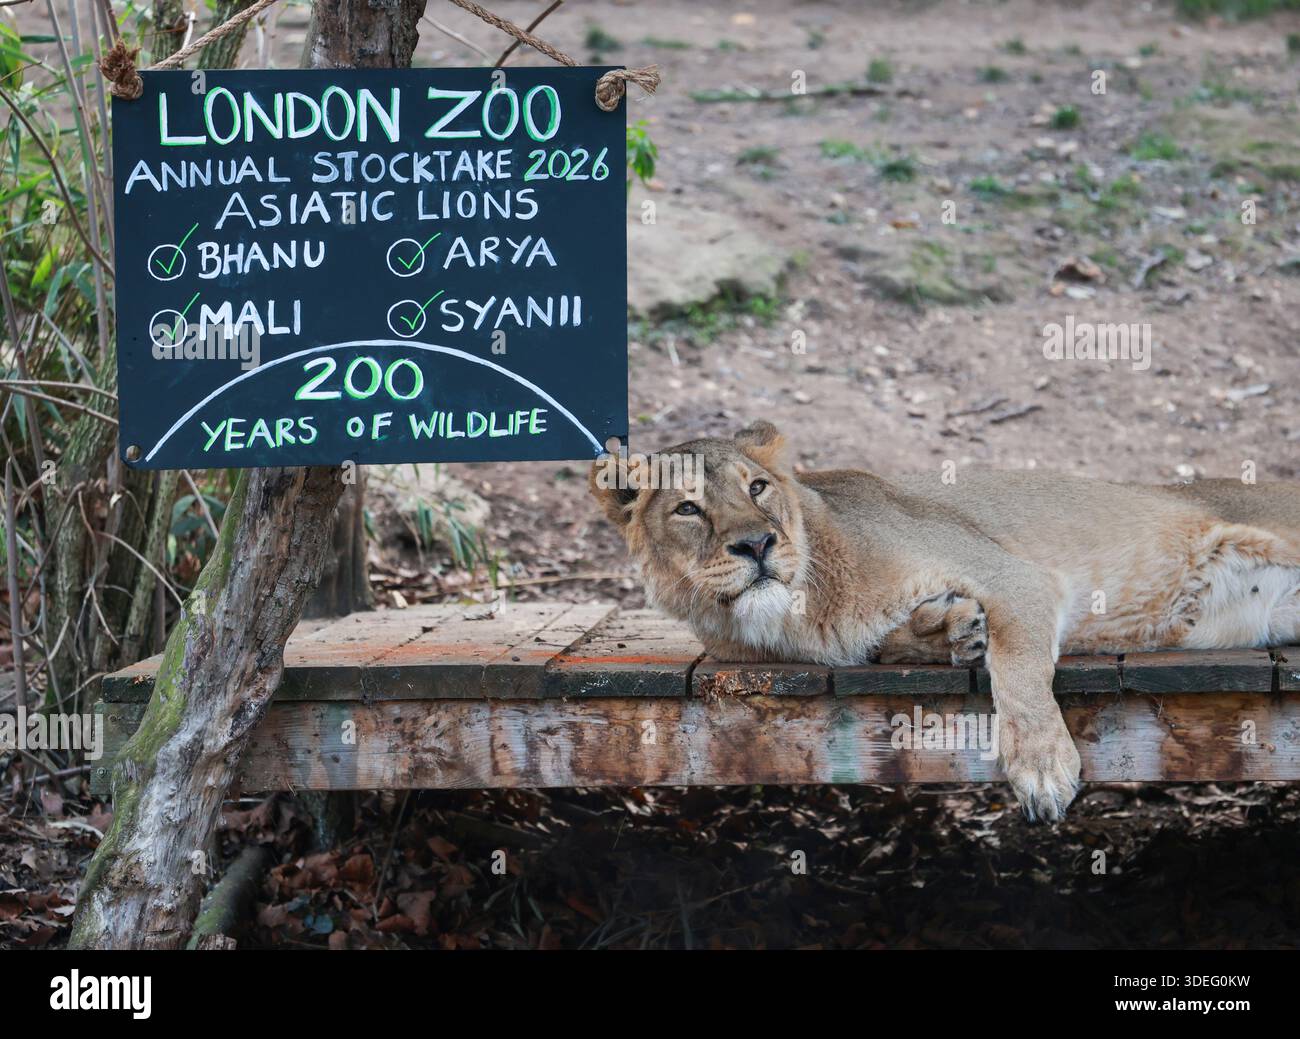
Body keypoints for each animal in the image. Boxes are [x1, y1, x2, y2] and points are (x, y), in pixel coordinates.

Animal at [590, 421, 1300, 821]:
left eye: (758, 488)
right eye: (687, 509)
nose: (758, 544)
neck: (797, 615)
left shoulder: (1020, 577)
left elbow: (1018, 669)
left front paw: (1043, 769)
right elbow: (888, 643)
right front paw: (946, 629)